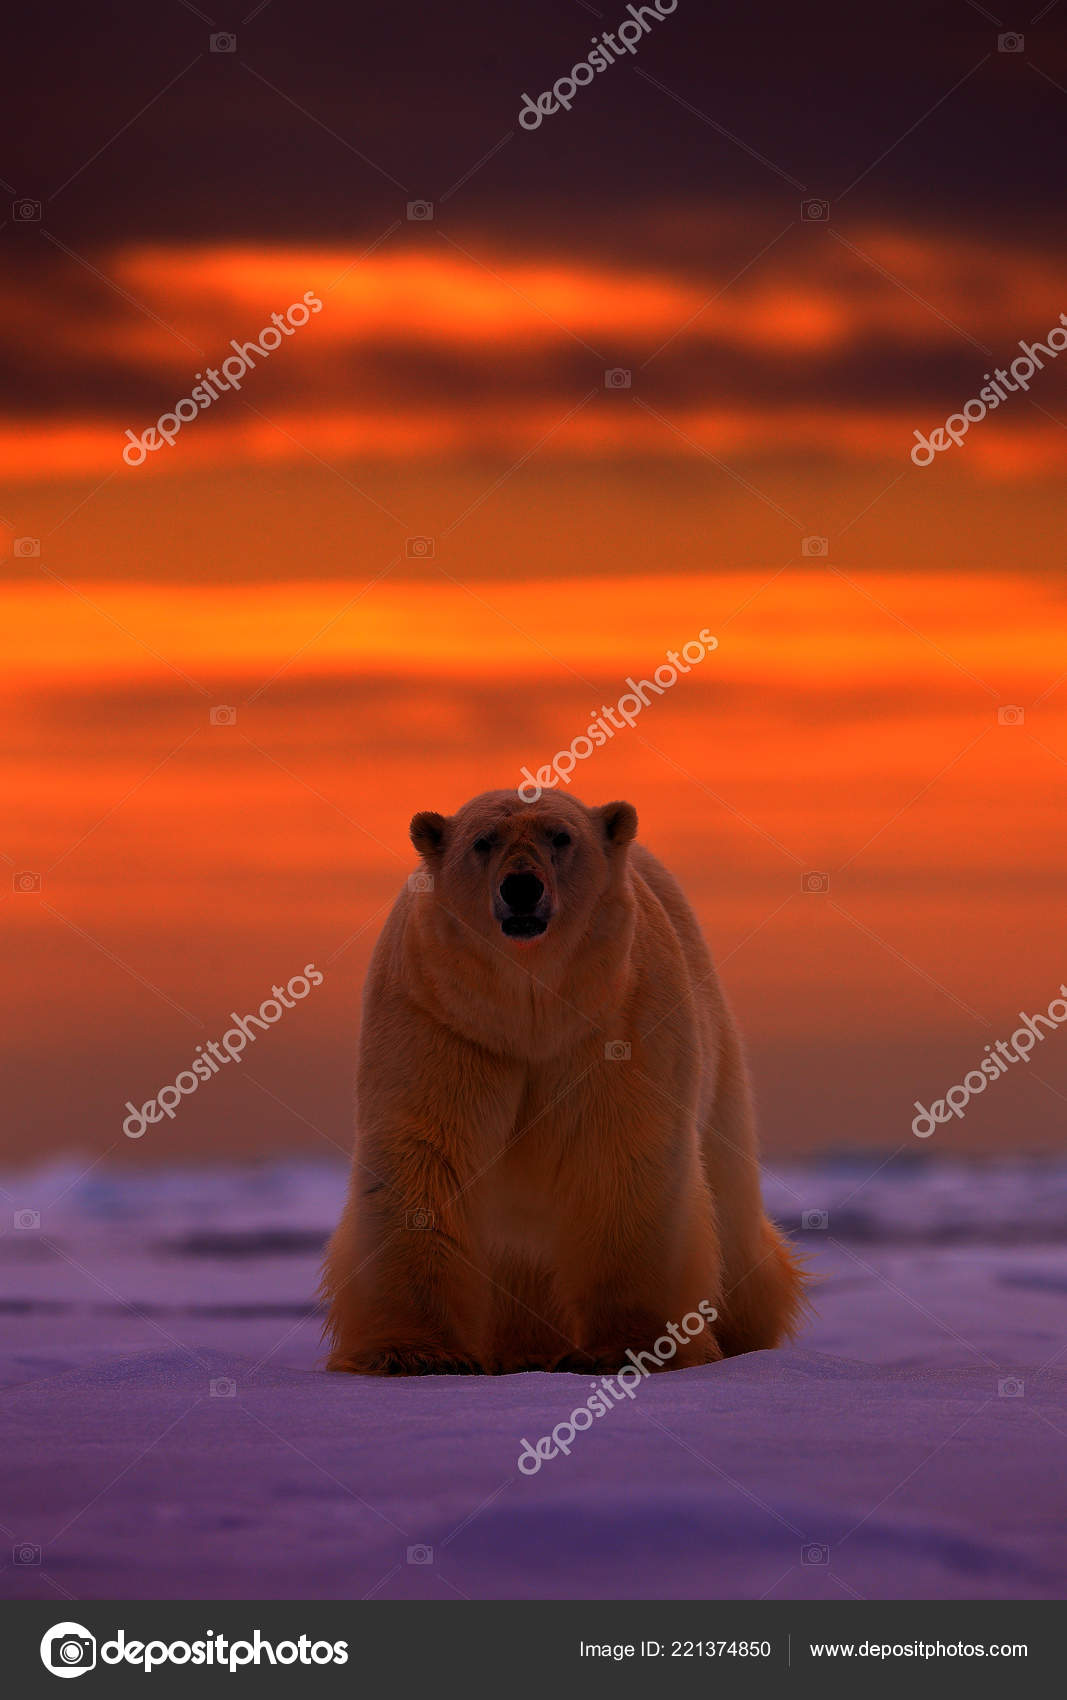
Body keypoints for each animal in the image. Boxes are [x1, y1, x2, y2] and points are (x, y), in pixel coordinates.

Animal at [322, 790, 805, 1375]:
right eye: (483, 841)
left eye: (561, 836)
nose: (521, 887)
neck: (532, 1012)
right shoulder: (441, 1020)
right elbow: (427, 1154)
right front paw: (416, 1353)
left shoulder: (616, 1021)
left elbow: (621, 1157)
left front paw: (626, 1348)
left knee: (732, 1208)